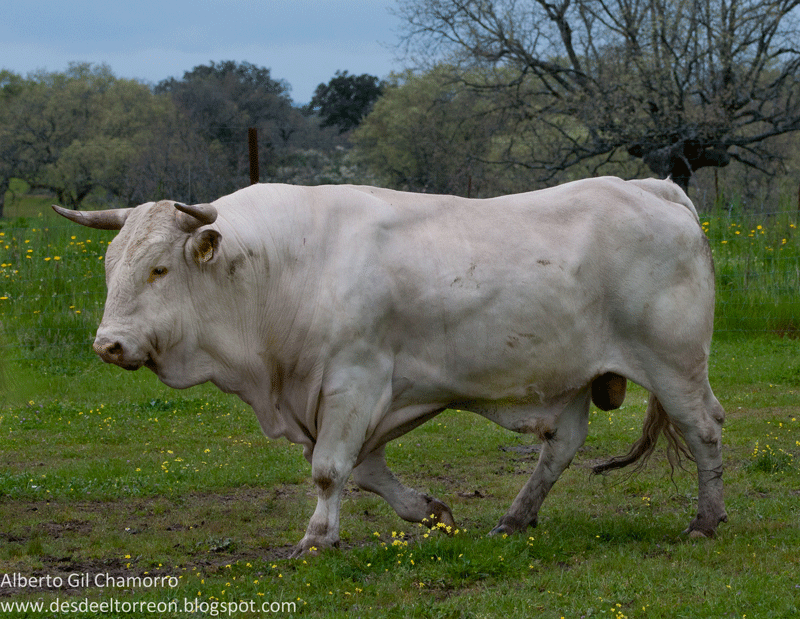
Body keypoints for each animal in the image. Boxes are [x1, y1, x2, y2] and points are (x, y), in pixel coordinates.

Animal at [53, 176, 727, 557]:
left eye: (159, 268)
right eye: (110, 265)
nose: (108, 344)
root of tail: (653, 188)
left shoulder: (354, 382)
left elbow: (330, 470)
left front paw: (317, 538)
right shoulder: (337, 399)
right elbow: (367, 472)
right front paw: (430, 512)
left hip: (674, 363)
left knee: (704, 429)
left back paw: (705, 521)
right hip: (571, 379)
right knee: (561, 448)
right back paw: (514, 518)